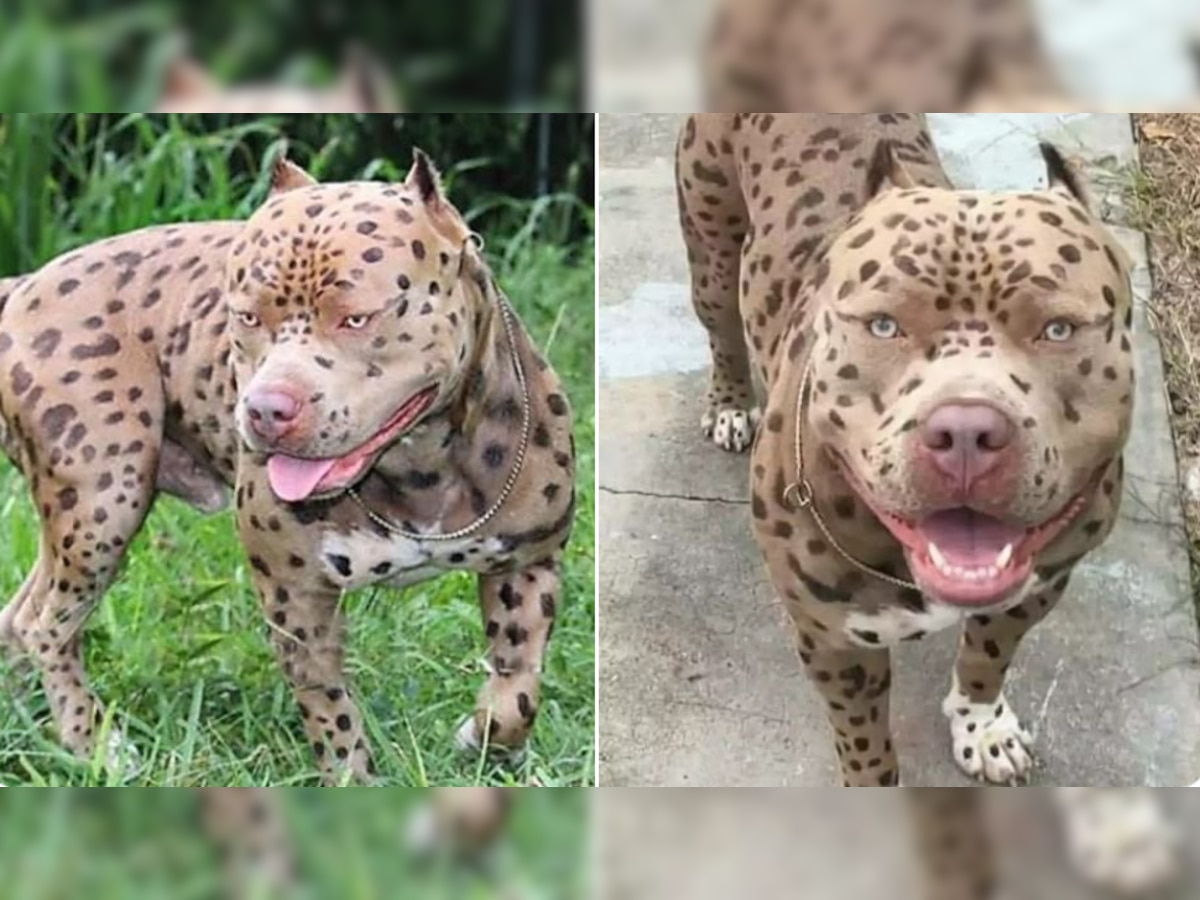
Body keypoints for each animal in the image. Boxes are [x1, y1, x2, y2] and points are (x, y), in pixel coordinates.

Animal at [0, 149, 576, 784]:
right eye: (247, 318)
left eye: (356, 319)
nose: (265, 409)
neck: (418, 463)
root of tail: (24, 285)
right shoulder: (295, 601)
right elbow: (333, 718)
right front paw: (356, 782)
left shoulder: (528, 565)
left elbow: (517, 693)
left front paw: (486, 743)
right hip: (102, 502)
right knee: (47, 624)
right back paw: (95, 745)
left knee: (22, 615)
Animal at [676, 113, 1135, 787]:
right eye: (884, 325)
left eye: (1057, 329)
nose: (967, 432)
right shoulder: (834, 643)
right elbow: (864, 744)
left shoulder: (1039, 585)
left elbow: (988, 655)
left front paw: (982, 725)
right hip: (710, 245)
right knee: (722, 325)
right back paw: (731, 401)